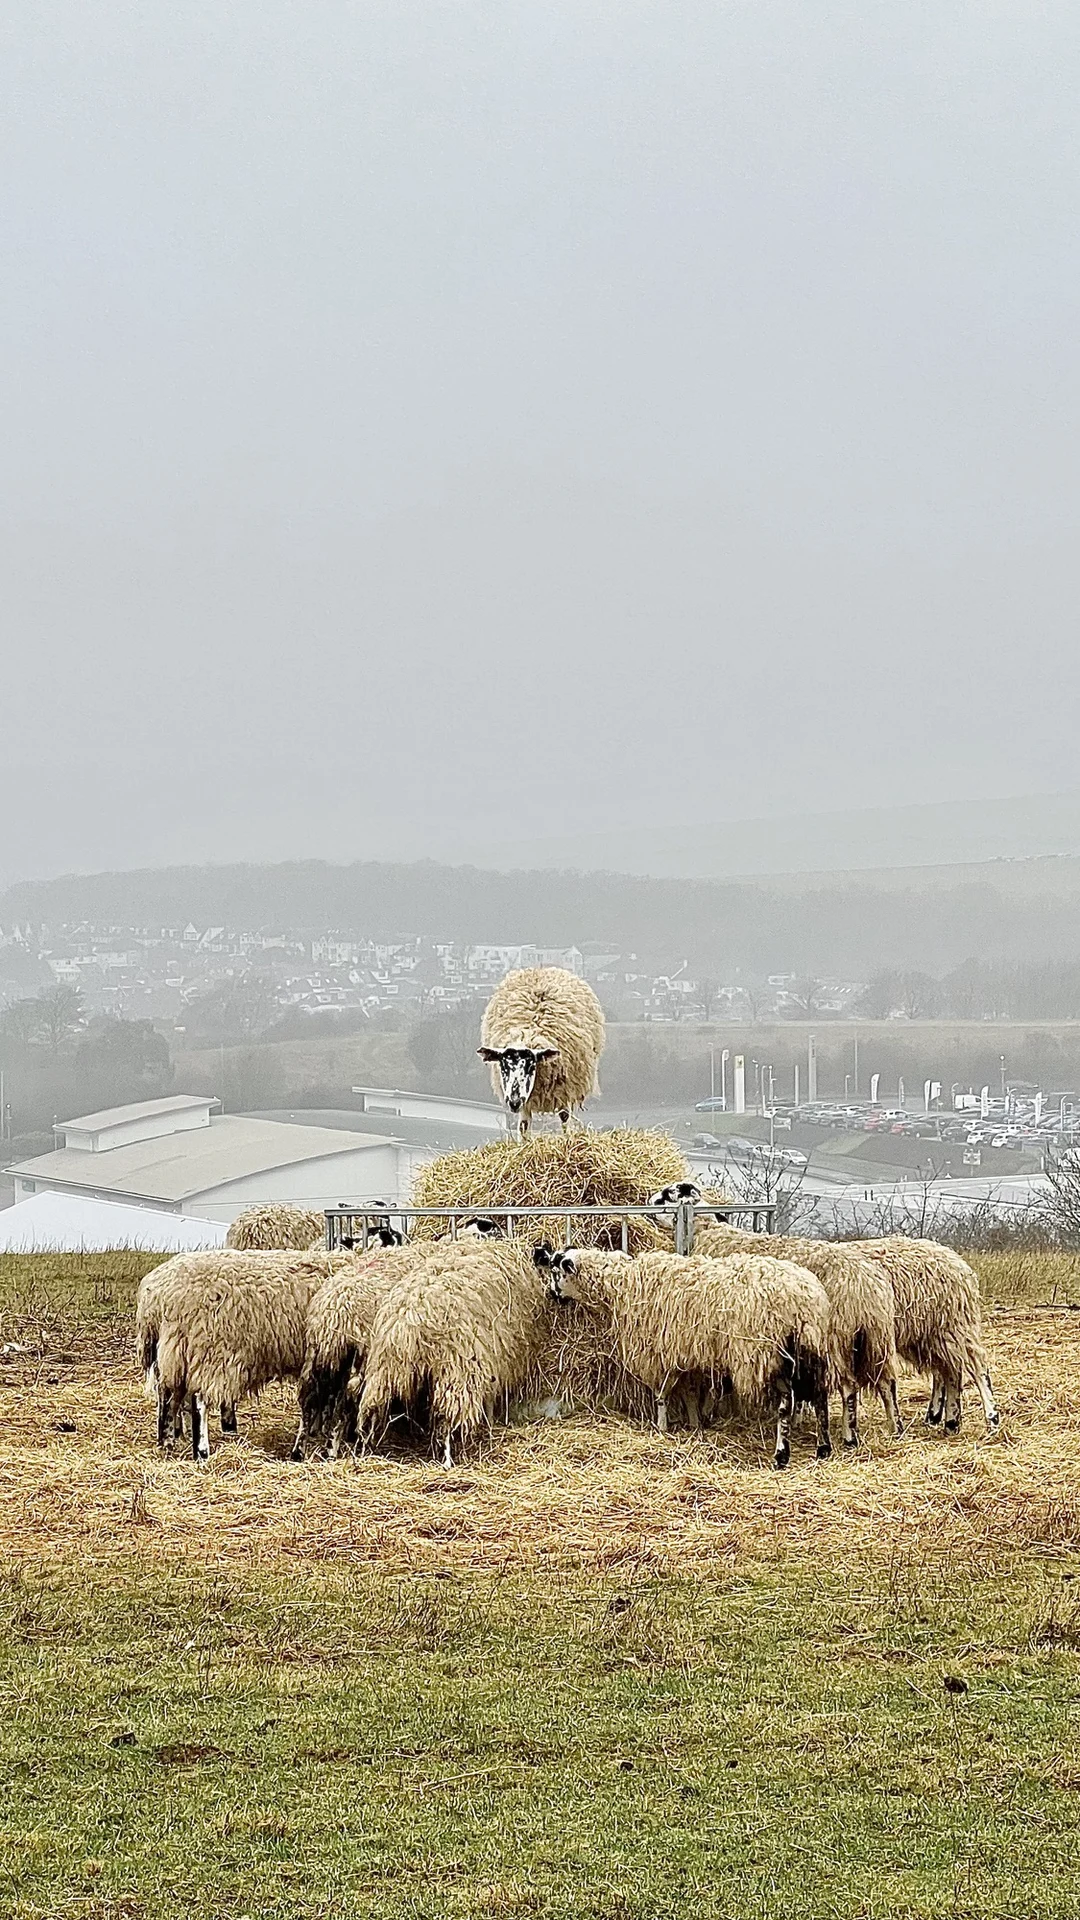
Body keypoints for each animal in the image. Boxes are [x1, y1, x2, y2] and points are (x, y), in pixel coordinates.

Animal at [356, 1240, 550, 1466]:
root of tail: (410, 1322)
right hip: (456, 1372)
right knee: (447, 1417)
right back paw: (448, 1460)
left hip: (383, 1372)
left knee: (370, 1412)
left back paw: (367, 1451)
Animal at [479, 967, 605, 1136]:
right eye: (503, 1066)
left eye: (531, 1066)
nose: (514, 1102)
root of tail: (541, 968)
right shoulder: (526, 1101)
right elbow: (523, 1126)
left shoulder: (565, 1090)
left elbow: (565, 1119)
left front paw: (568, 1139)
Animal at [535, 1244, 832, 1468]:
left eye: (555, 1272)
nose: (550, 1295)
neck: (623, 1285)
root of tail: (801, 1301)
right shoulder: (688, 1354)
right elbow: (690, 1393)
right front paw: (695, 1423)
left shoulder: (660, 1351)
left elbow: (662, 1393)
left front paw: (661, 1427)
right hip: (811, 1351)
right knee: (820, 1399)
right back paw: (823, 1448)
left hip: (768, 1355)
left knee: (785, 1404)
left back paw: (781, 1454)